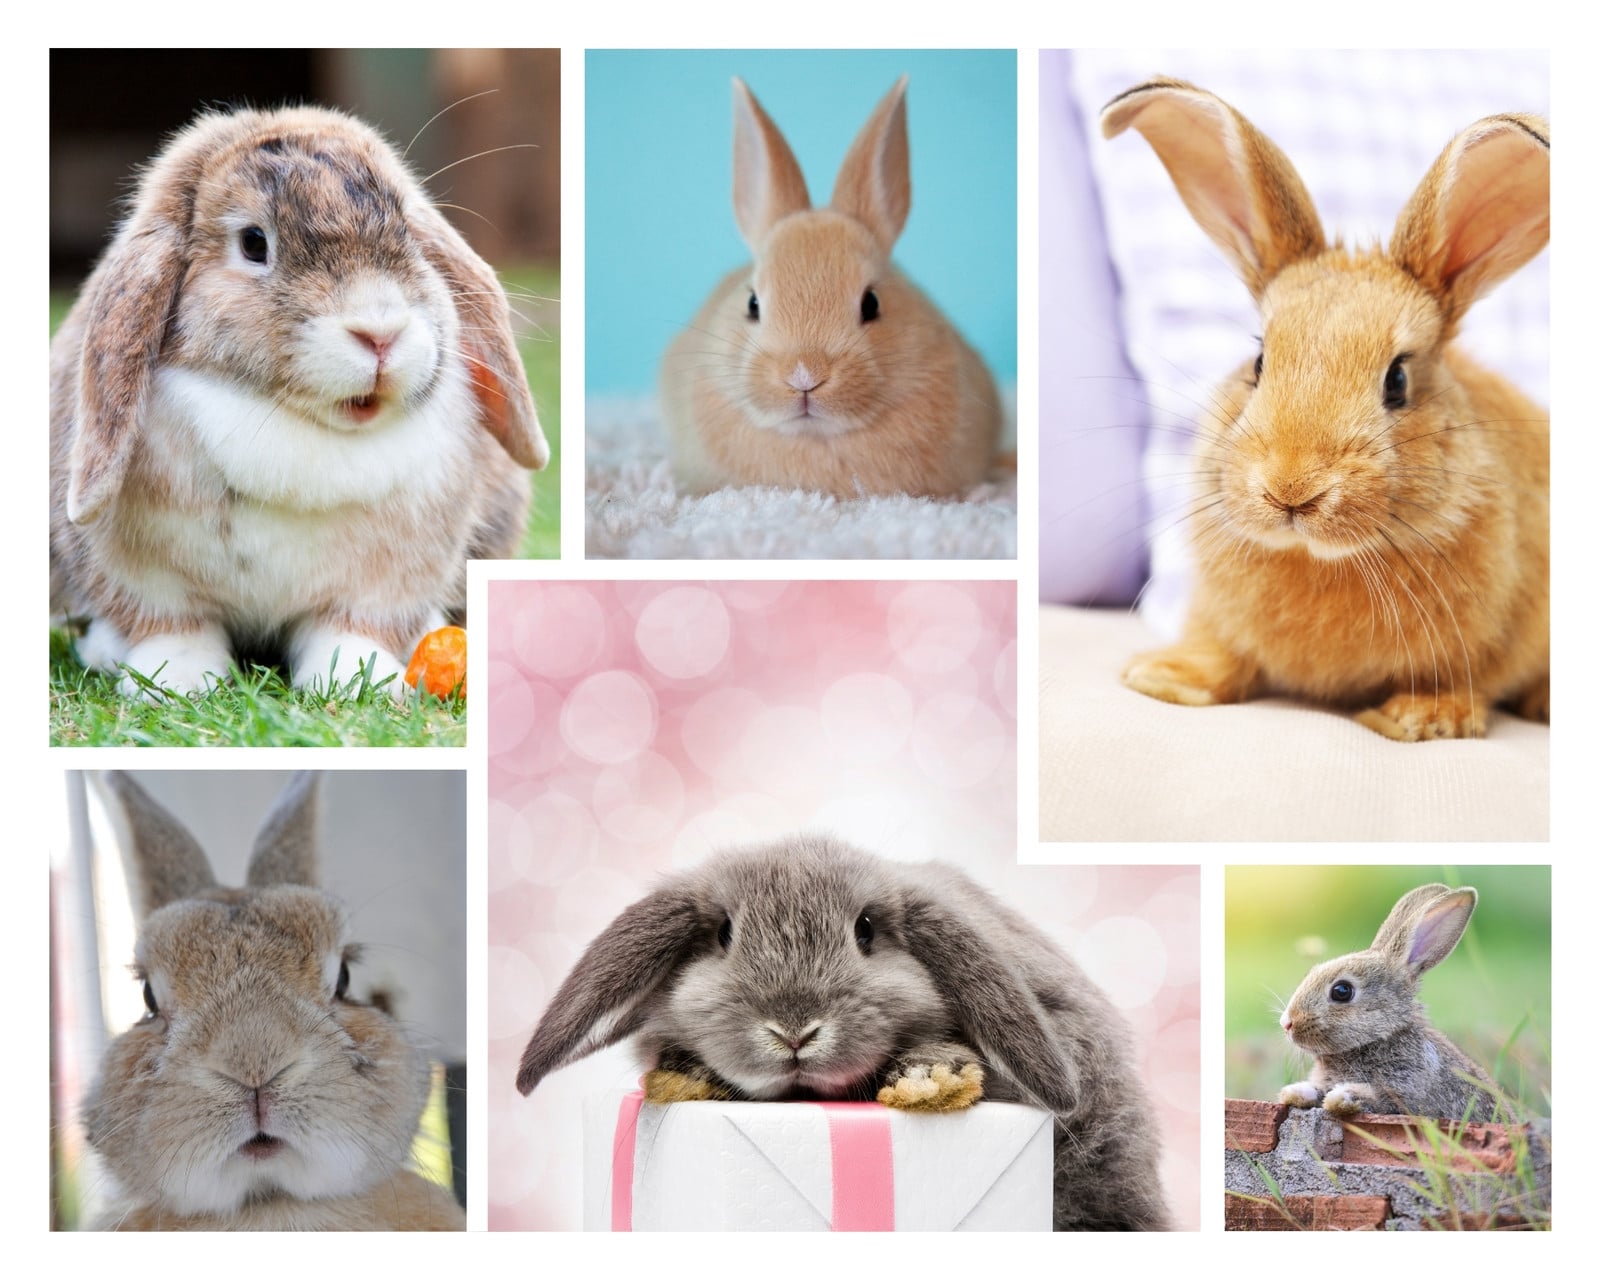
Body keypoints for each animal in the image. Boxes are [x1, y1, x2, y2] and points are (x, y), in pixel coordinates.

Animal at [50, 105, 549, 700]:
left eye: (407, 229)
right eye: (253, 243)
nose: (380, 333)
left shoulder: (381, 585)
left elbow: (351, 631)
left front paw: (360, 683)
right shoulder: (150, 582)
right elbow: (175, 629)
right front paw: (175, 682)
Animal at [1100, 79, 1549, 741]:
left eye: (1397, 380)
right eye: (1258, 361)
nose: (1291, 488)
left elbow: (1468, 679)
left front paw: (1421, 718)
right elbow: (1221, 650)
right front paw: (1165, 677)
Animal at [1277, 884, 1503, 1122]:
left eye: (1342, 991)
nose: (1287, 1023)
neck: (1380, 1038)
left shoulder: (1406, 1092)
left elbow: (1376, 1097)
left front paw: (1342, 1097)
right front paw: (1295, 1092)